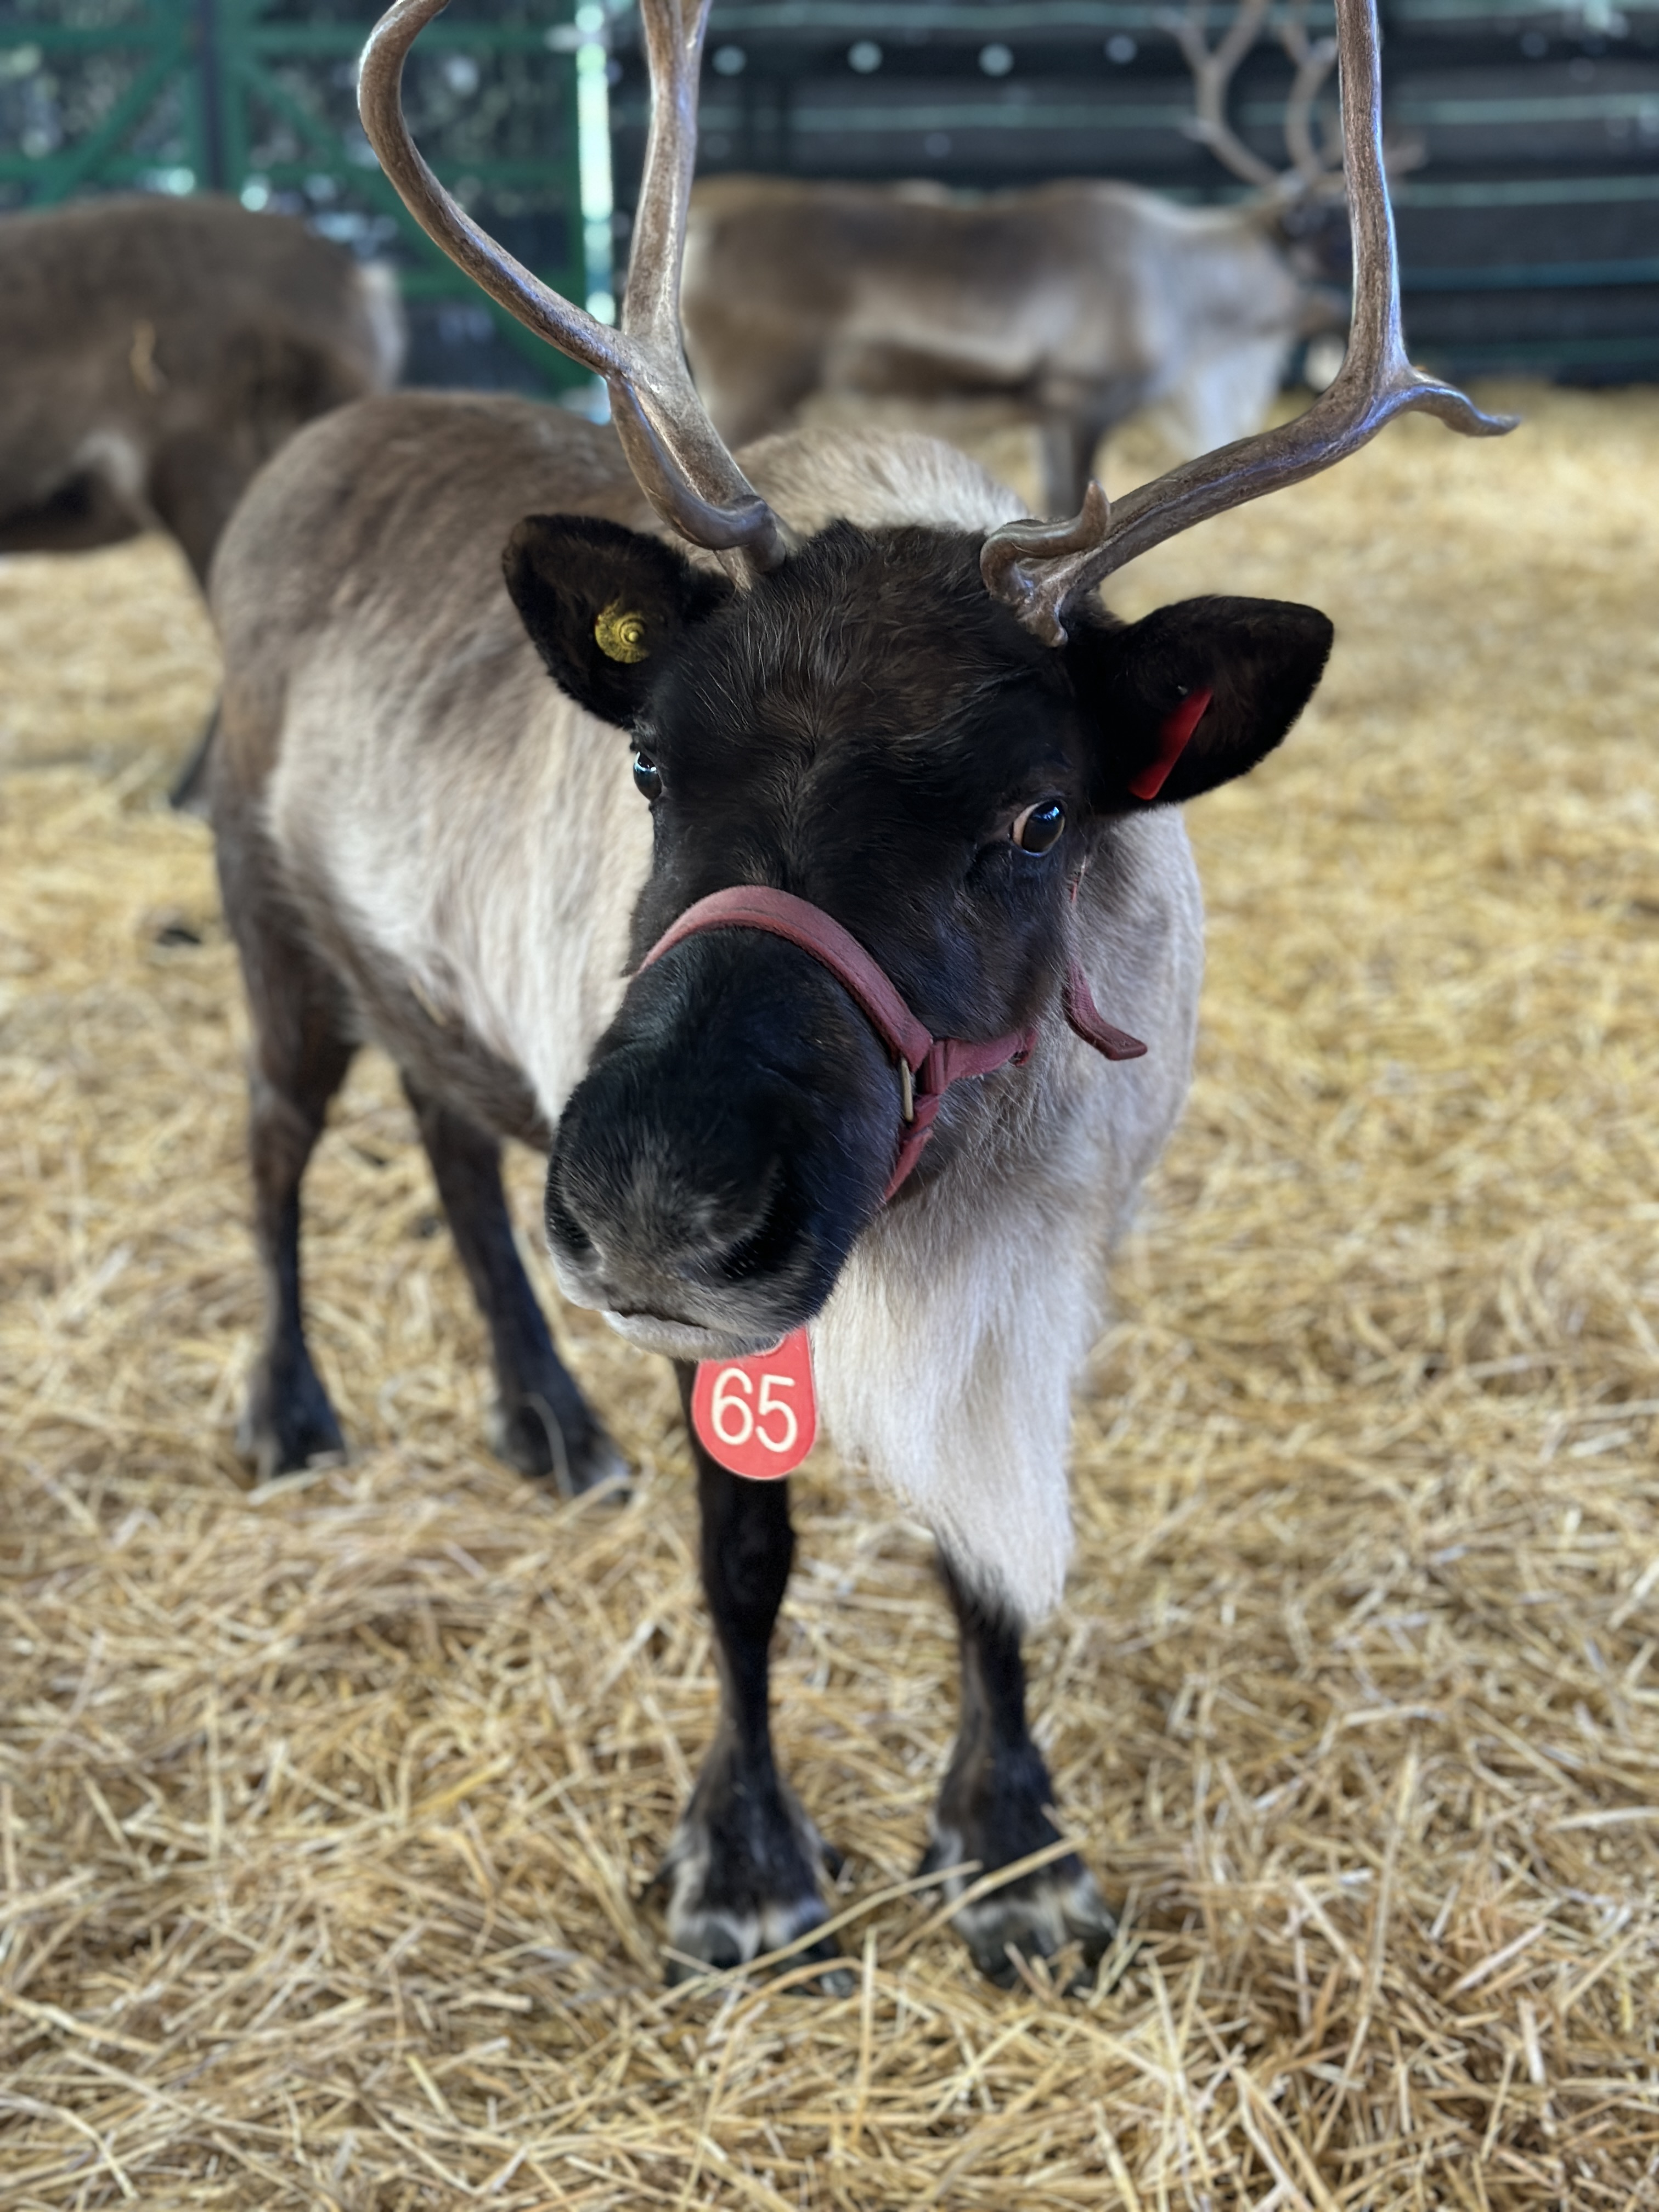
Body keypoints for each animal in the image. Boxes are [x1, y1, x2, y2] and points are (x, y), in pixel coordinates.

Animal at [680, 0, 1358, 515]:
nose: (1337, 314)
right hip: (751, 386)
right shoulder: (1083, 399)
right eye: (1324, 242)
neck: (1184, 285)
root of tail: (703, 236)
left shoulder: (1046, 414)